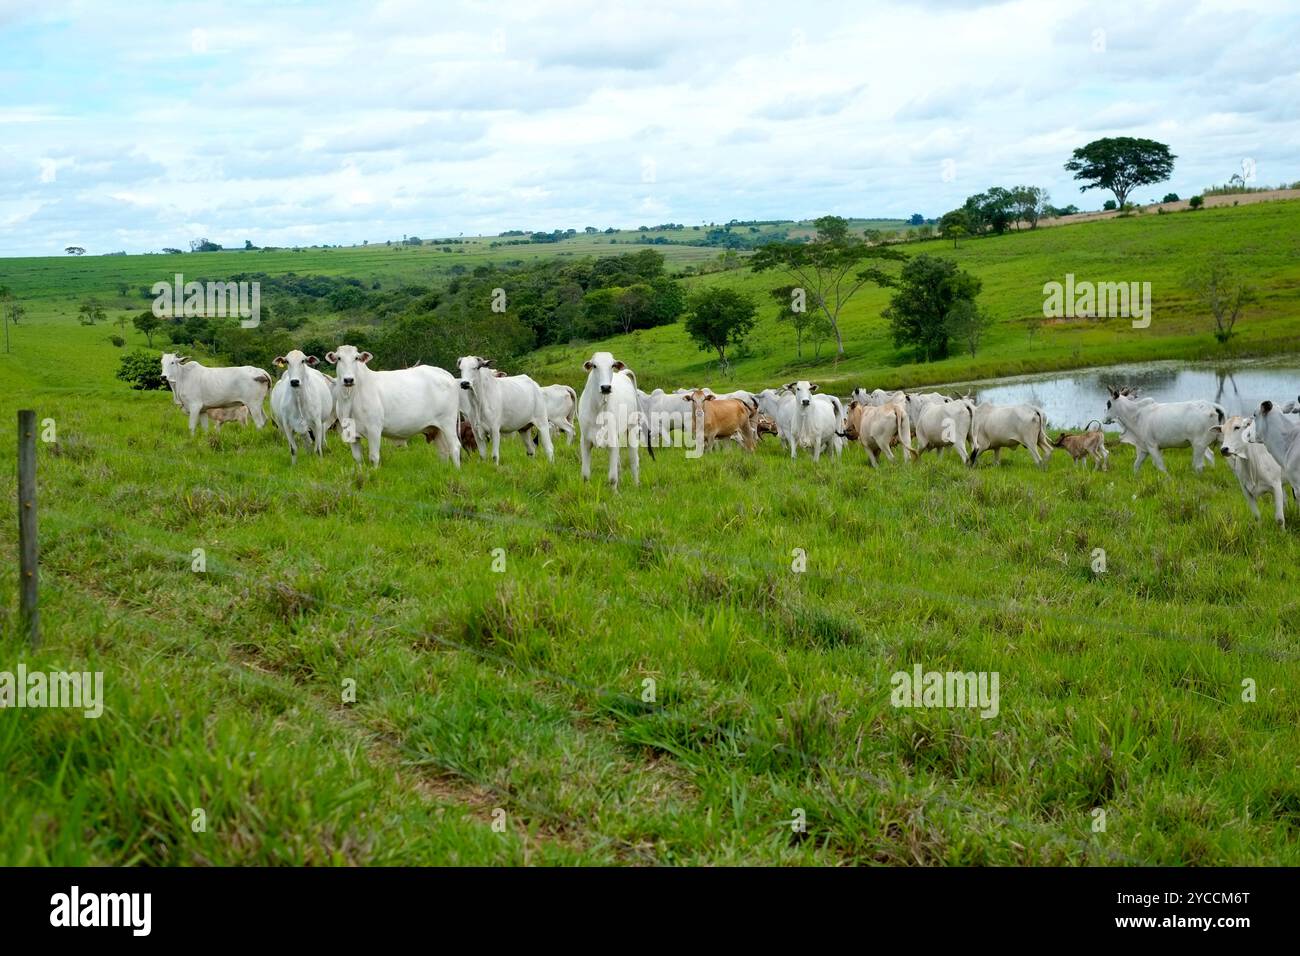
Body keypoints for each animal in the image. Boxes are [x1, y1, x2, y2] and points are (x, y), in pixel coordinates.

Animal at [326, 345, 461, 468]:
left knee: (454, 447)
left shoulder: (374, 429)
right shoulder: (351, 433)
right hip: (436, 429)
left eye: (356, 358)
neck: (350, 398)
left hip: (448, 422)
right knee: (443, 450)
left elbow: (374, 457)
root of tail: (445, 374)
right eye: (339, 358)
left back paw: (457, 471)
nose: (348, 380)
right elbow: (358, 458)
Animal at [578, 352, 654, 488]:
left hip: (632, 429)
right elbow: (585, 475)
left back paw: (636, 484)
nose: (605, 387)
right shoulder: (585, 441)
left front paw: (615, 492)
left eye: (612, 365)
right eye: (594, 365)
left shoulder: (613, 442)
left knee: (634, 461)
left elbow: (612, 477)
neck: (598, 408)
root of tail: (622, 374)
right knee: (618, 464)